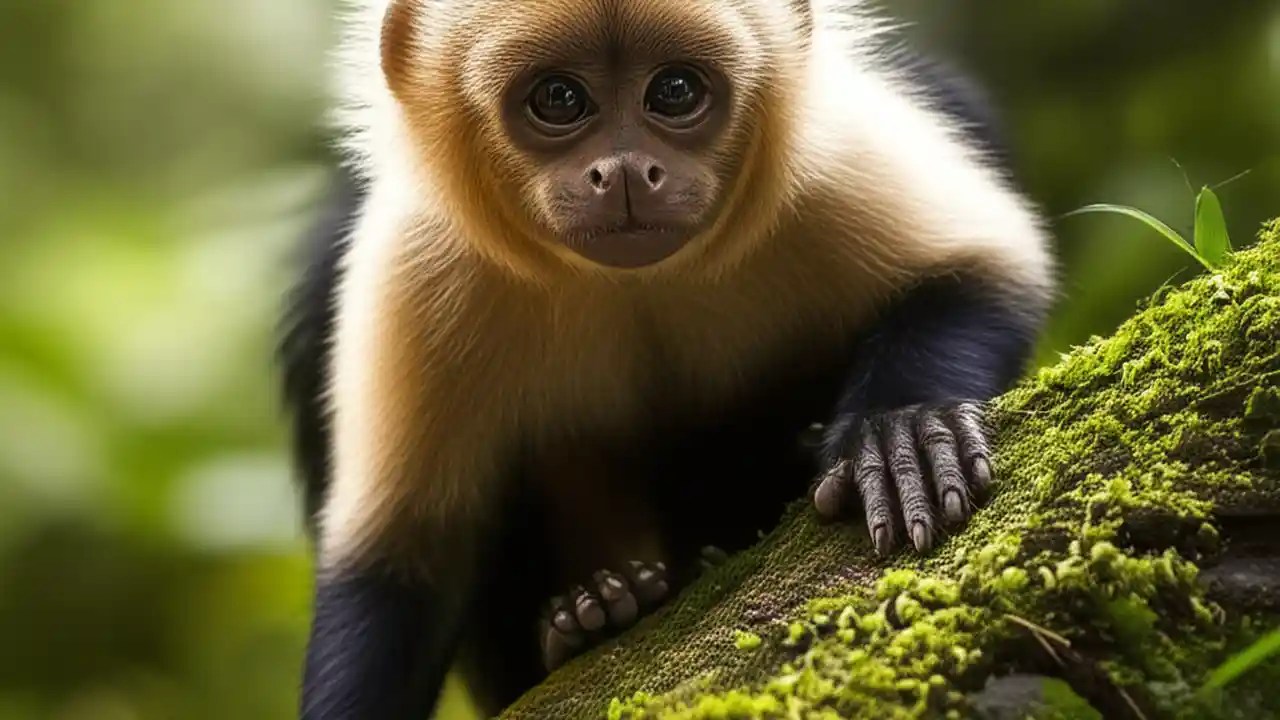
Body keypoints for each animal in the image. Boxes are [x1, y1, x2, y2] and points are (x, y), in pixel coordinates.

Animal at [277, 0, 1056, 717]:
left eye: (675, 91)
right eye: (558, 99)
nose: (625, 171)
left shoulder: (832, 156)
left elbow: (985, 269)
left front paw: (903, 433)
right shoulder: (418, 262)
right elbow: (398, 562)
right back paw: (598, 615)